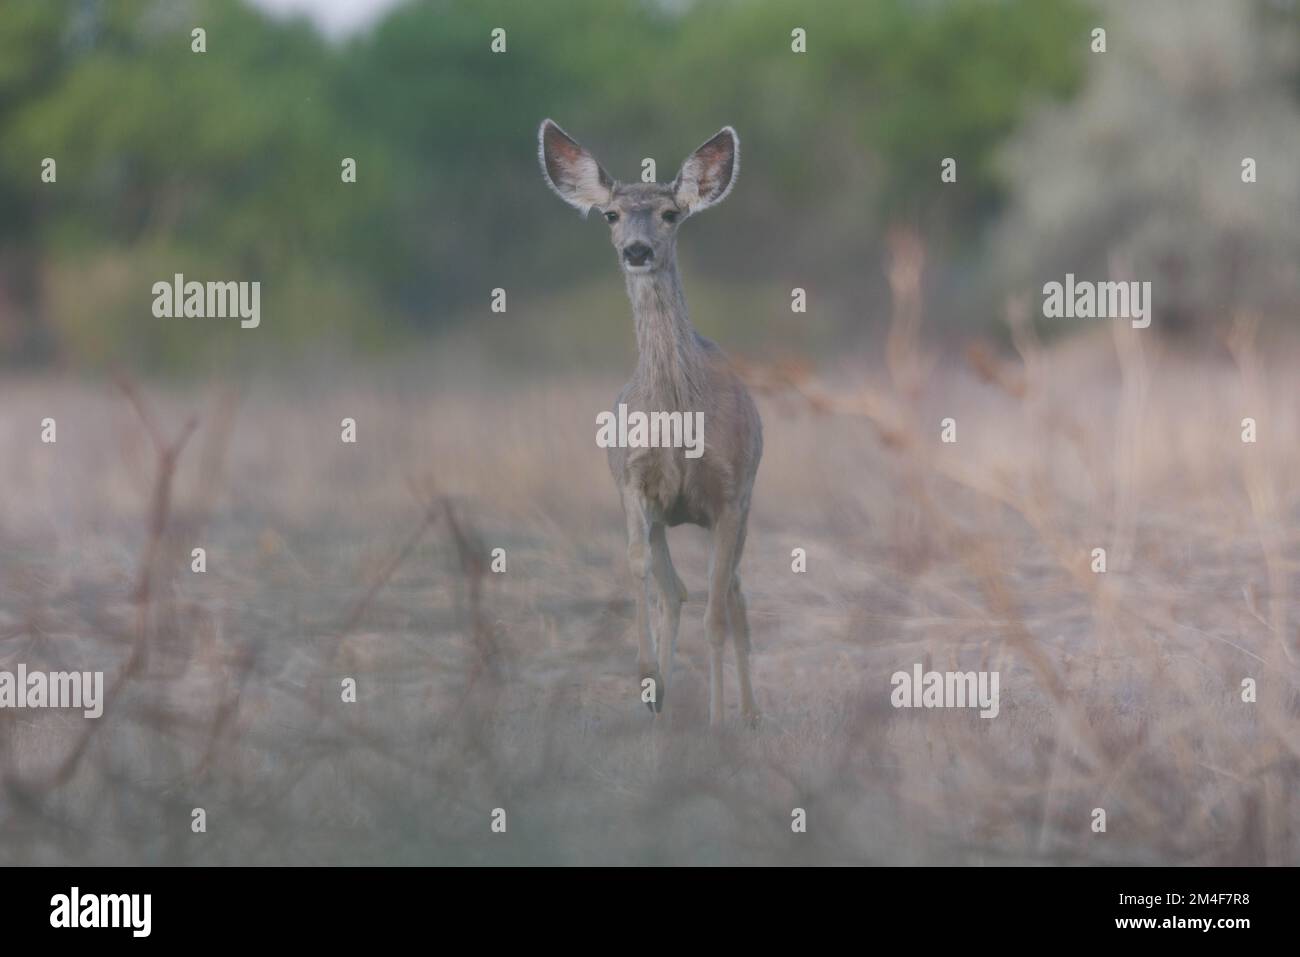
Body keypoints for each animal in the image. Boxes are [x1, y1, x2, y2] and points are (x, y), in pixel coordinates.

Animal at [538, 119, 762, 726]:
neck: (677, 419)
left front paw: (716, 719)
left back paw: (748, 714)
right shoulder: (634, 483)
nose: (637, 250)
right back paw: (662, 698)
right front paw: (647, 679)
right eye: (611, 215)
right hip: (667, 516)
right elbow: (640, 569)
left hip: (746, 498)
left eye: (670, 214)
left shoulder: (728, 492)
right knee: (677, 590)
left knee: (733, 592)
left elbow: (716, 611)